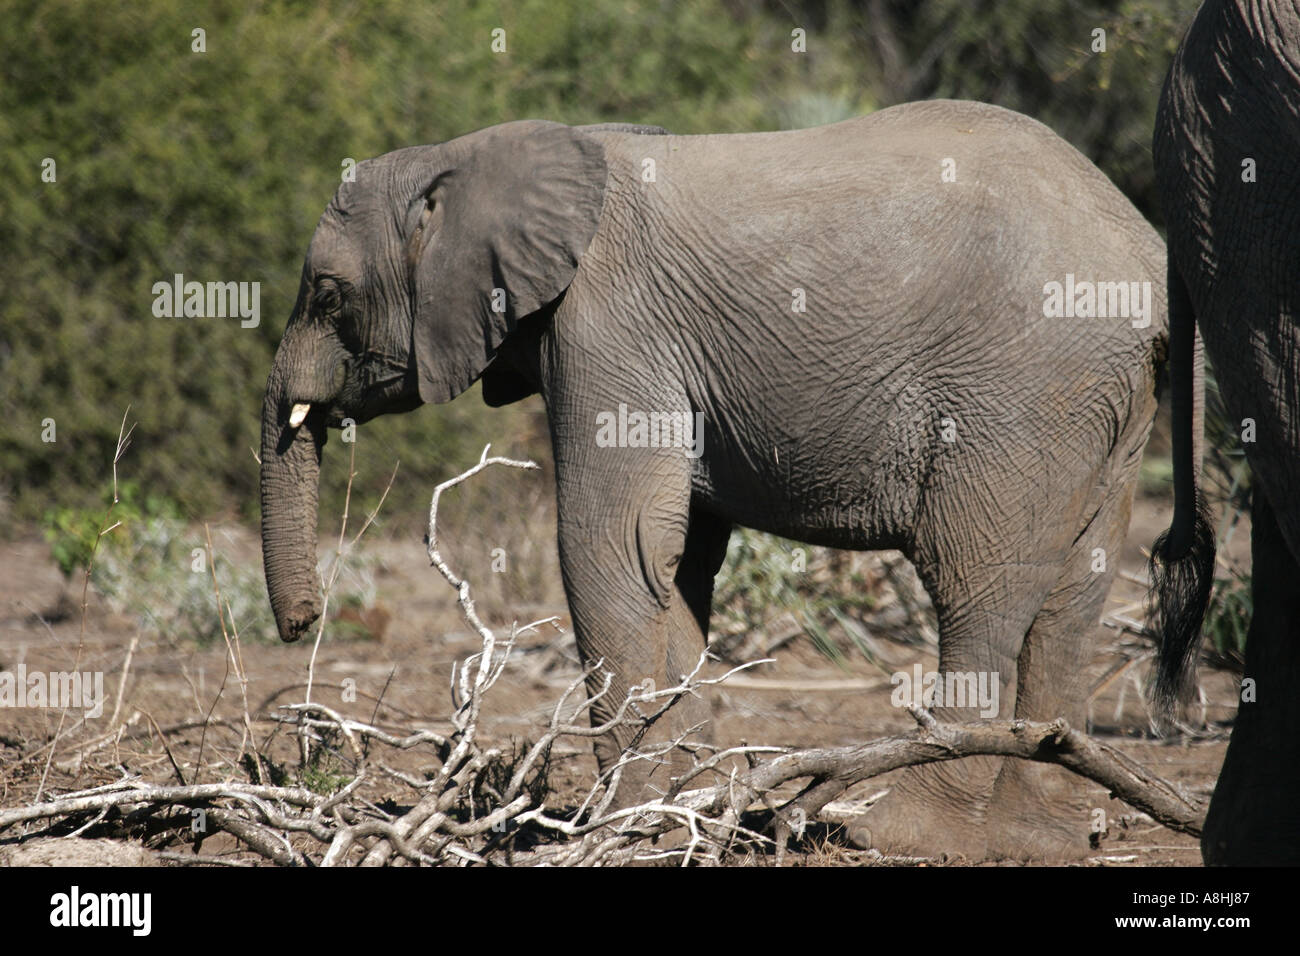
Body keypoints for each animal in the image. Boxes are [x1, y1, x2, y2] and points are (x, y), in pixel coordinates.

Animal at [260, 100, 1170, 861]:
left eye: (328, 295)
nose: (304, 623)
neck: (475, 153)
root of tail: (1151, 261)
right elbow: (680, 561)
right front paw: (691, 812)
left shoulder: (606, 322)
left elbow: (610, 544)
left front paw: (619, 829)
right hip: (1108, 411)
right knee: (1072, 600)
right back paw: (1038, 836)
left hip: (1022, 394)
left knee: (975, 588)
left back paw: (903, 833)